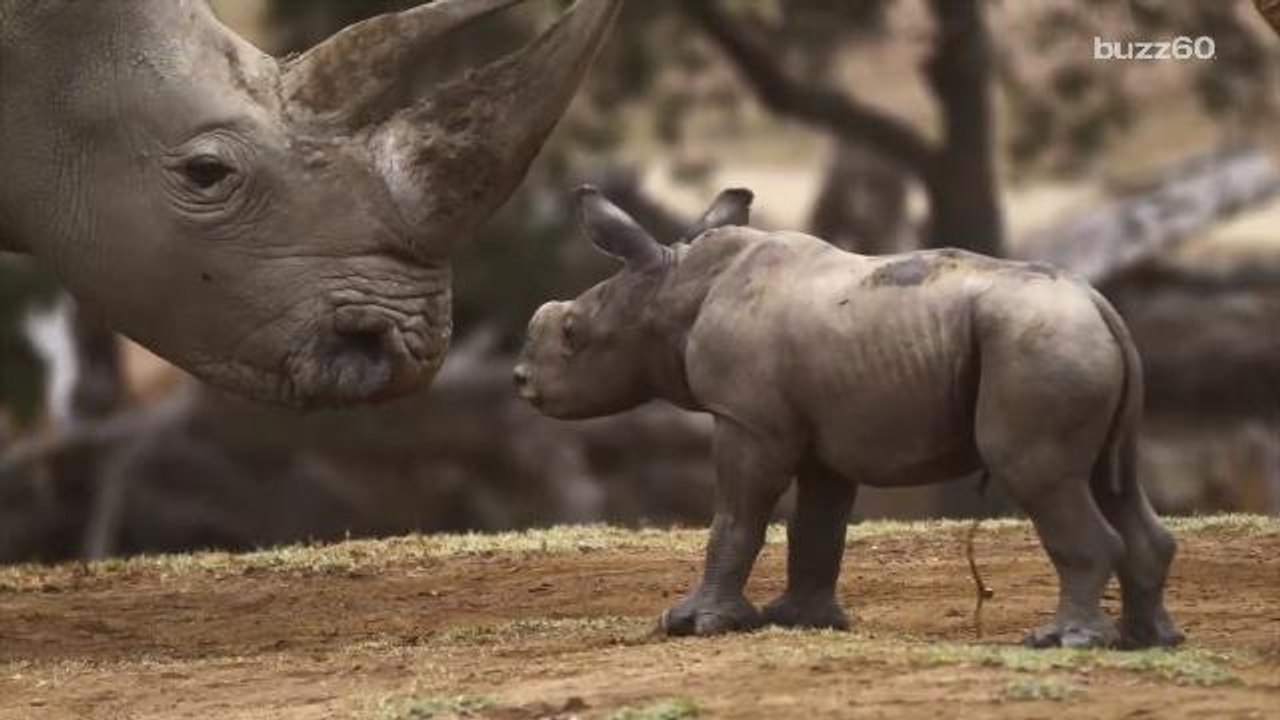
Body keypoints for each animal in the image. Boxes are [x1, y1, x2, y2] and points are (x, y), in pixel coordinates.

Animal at [515, 188, 1185, 649]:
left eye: (571, 334)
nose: (521, 381)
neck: (674, 287)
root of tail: (1099, 304)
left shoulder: (747, 421)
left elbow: (737, 516)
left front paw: (695, 623)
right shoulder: (822, 431)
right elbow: (817, 525)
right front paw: (799, 621)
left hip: (1038, 346)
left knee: (1041, 476)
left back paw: (1063, 641)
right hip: (1065, 344)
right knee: (1108, 481)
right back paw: (1147, 641)